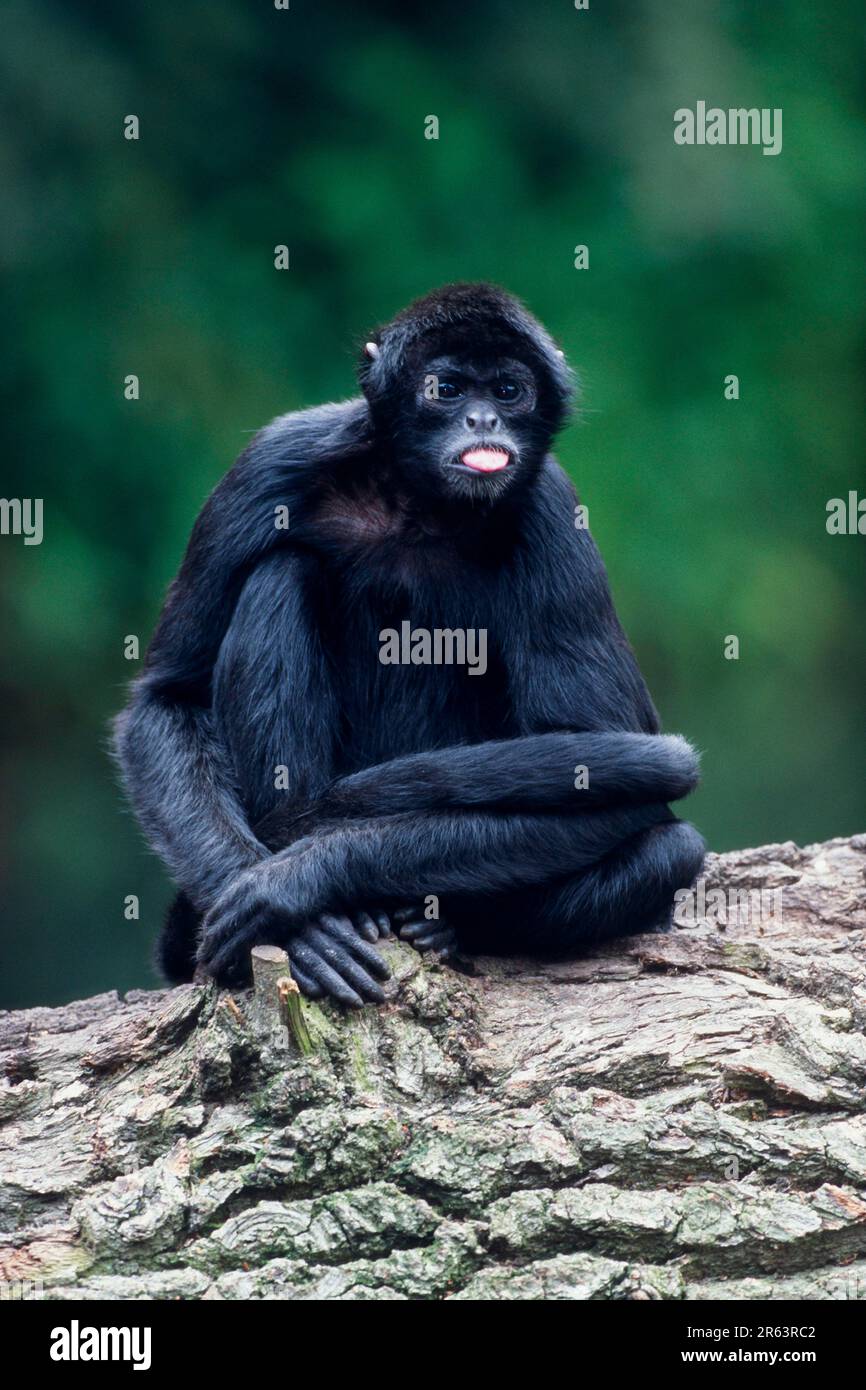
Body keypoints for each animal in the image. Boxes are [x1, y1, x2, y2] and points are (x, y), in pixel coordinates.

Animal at [113, 283, 705, 1006]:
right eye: (447, 389)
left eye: (509, 390)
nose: (483, 420)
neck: (420, 505)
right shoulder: (275, 460)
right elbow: (167, 697)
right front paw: (275, 908)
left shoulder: (552, 505)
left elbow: (608, 777)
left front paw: (300, 880)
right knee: (283, 570)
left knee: (669, 851)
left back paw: (432, 921)